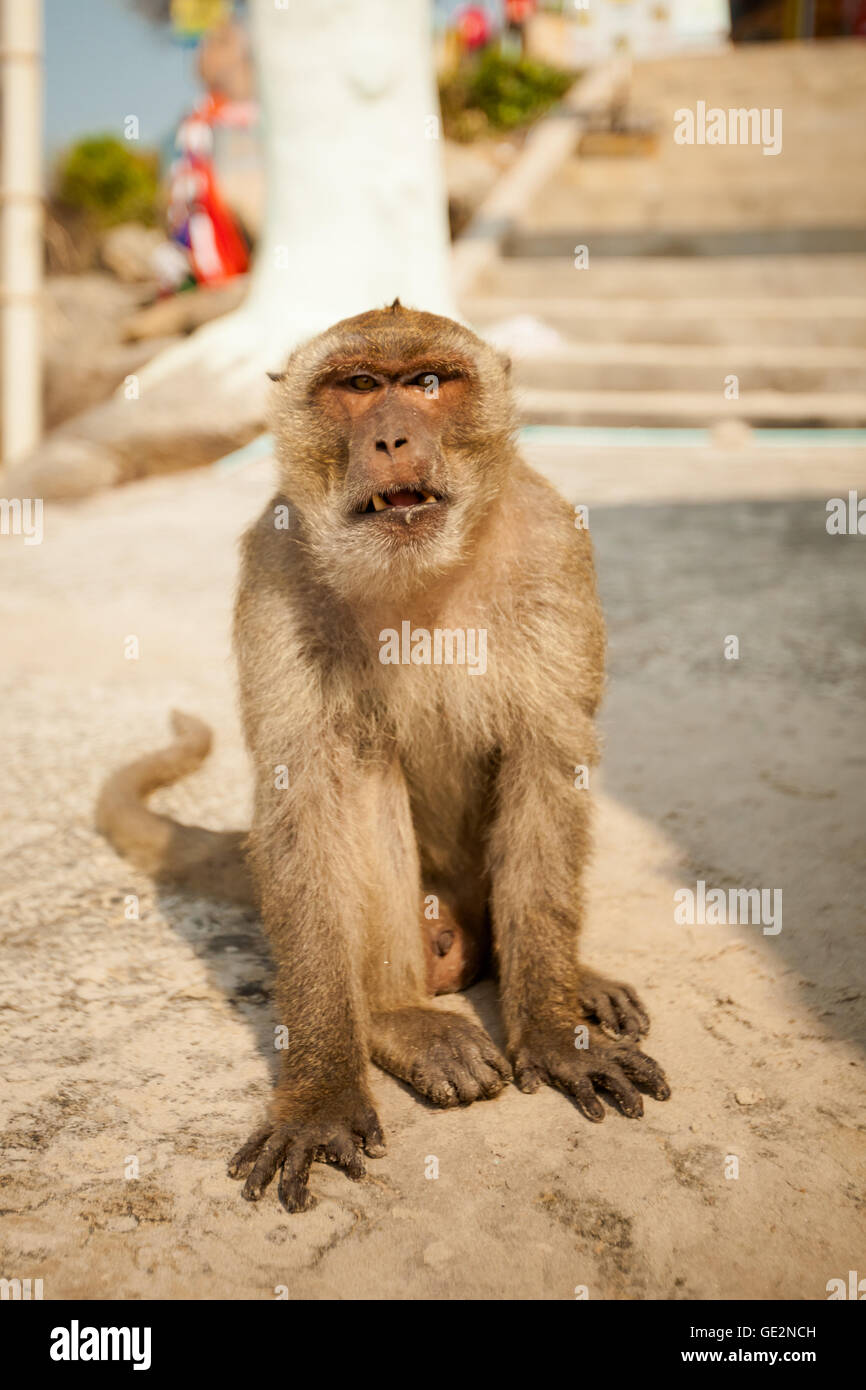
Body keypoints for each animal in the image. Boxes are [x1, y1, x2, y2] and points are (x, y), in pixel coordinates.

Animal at [97, 300, 669, 1212]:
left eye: (428, 382)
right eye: (360, 386)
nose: (393, 438)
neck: (418, 579)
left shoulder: (554, 545)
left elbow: (548, 760)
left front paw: (552, 1029)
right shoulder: (277, 564)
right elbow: (305, 792)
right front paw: (322, 1089)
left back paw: (567, 978)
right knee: (360, 767)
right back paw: (401, 1020)